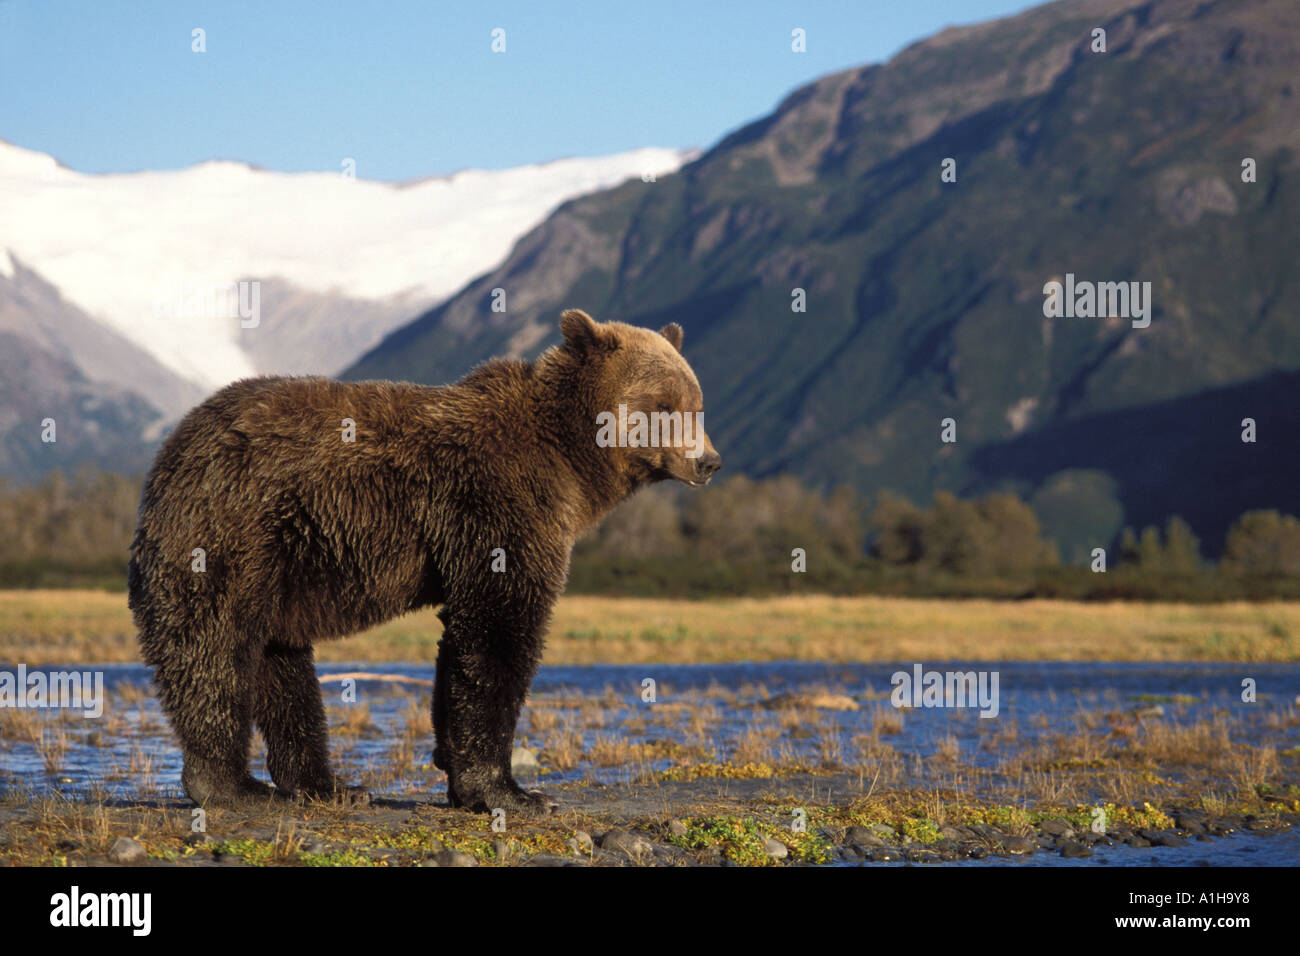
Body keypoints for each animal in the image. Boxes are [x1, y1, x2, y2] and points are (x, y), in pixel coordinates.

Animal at [127, 309, 721, 814]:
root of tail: (166, 458)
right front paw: (515, 793)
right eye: (664, 406)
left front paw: (462, 780)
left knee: (281, 664)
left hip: (276, 569)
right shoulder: (497, 505)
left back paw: (330, 786)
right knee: (217, 649)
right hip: (232, 533)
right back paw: (236, 787)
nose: (709, 461)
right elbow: (498, 630)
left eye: (696, 404)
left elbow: (461, 647)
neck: (569, 462)